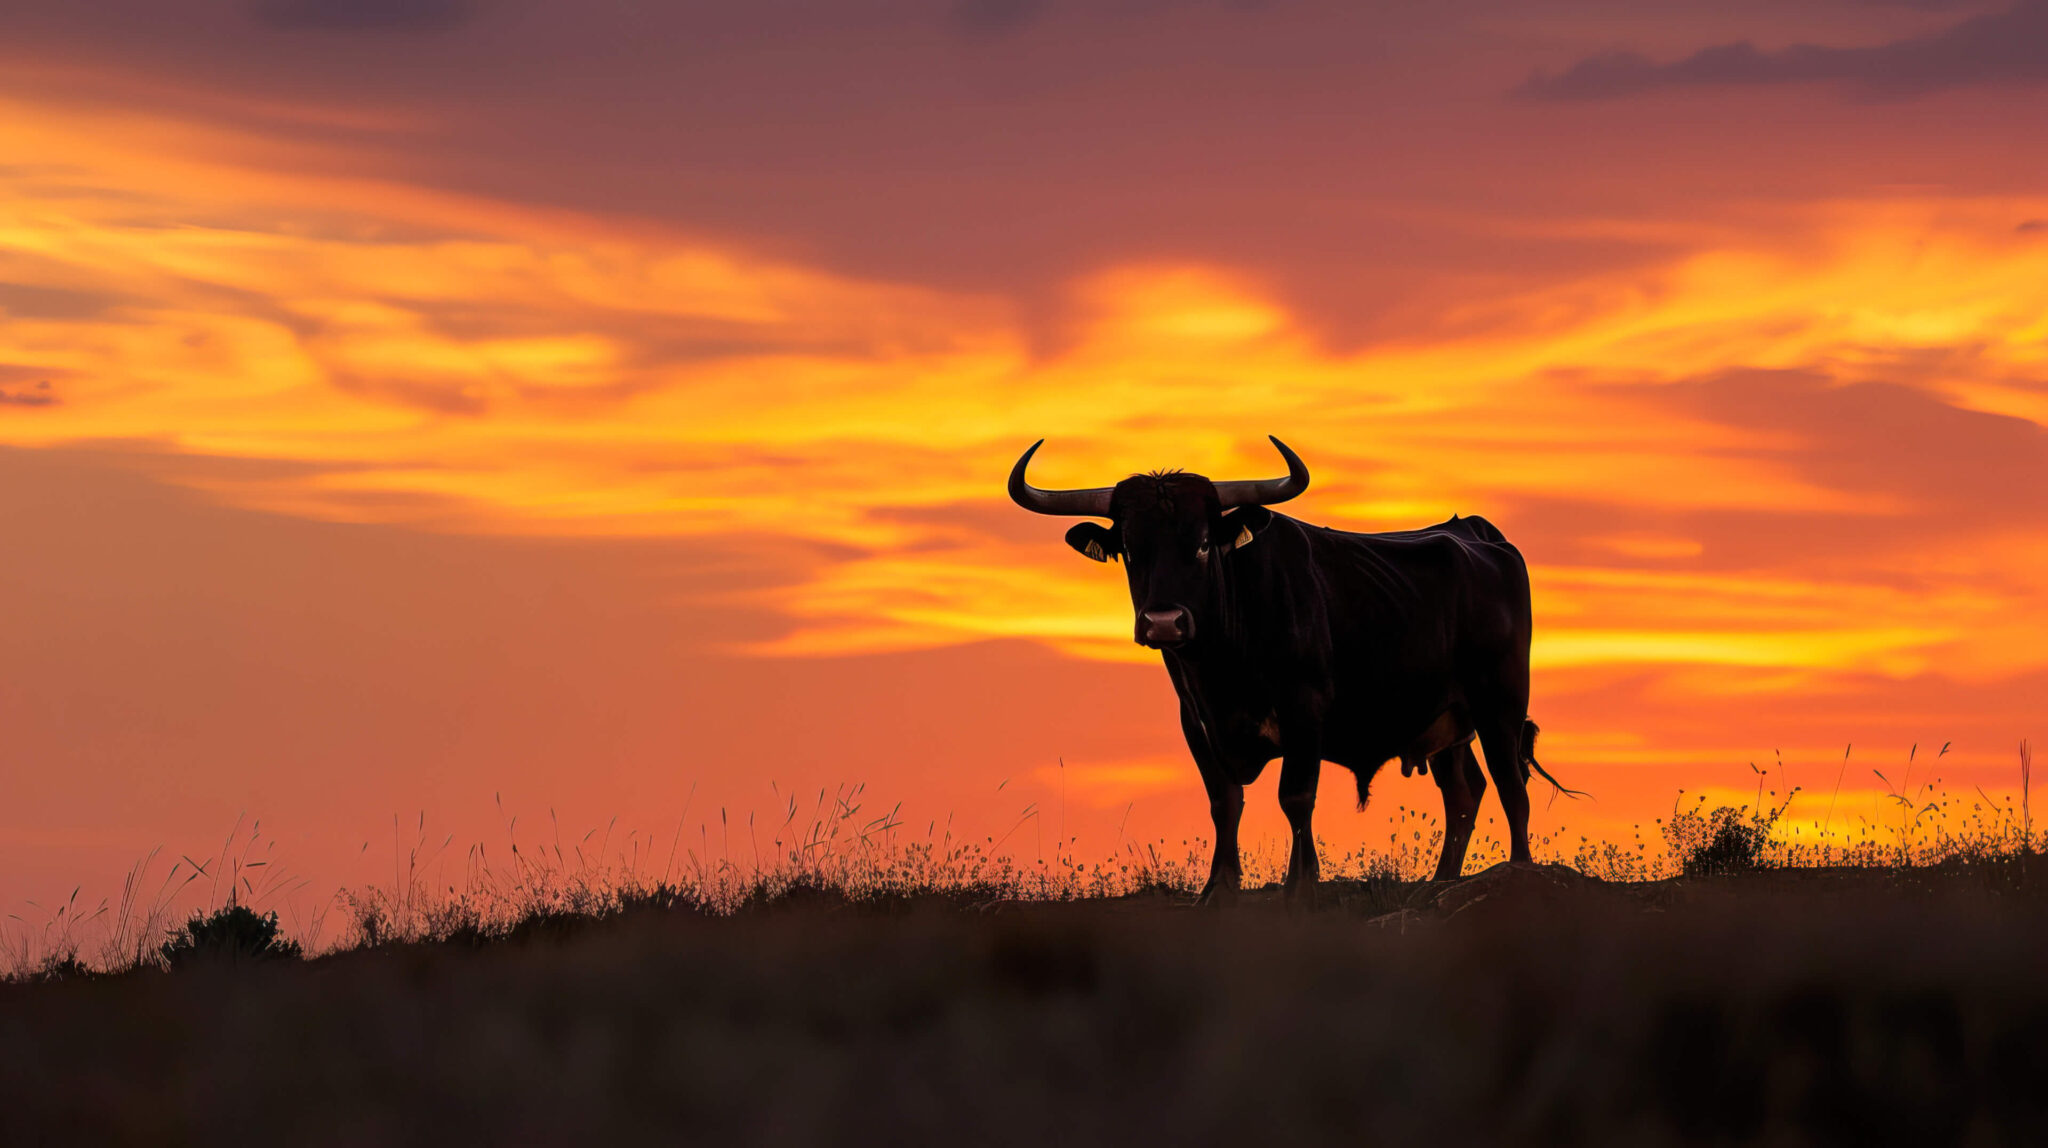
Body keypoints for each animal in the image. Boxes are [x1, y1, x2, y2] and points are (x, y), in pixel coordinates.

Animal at [1008, 435, 1555, 907]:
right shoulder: (1195, 721)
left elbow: (1295, 796)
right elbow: (1224, 802)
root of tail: (1477, 533)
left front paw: (1300, 886)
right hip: (1446, 722)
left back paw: (1519, 872)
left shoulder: (1304, 712)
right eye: (1130, 550)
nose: (1164, 622)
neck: (1221, 671)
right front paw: (1218, 889)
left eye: (1203, 543)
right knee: (1464, 792)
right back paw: (1440, 883)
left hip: (1500, 704)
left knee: (1511, 785)